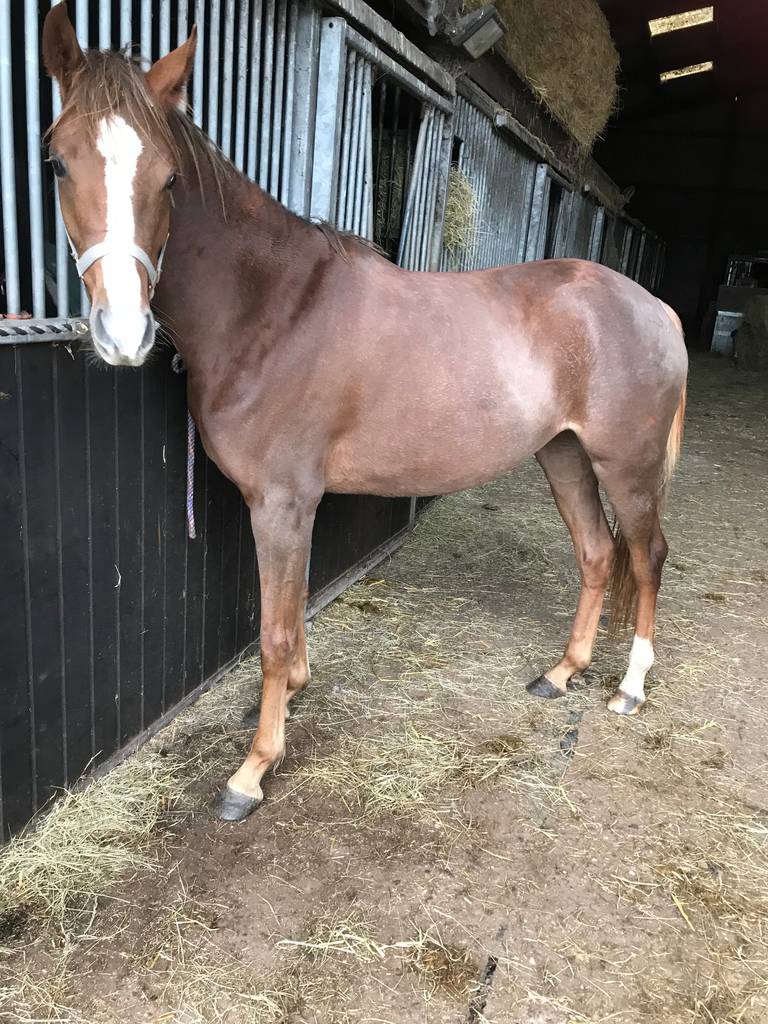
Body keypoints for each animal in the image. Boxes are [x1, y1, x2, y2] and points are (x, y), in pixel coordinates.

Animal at [42, 3, 687, 822]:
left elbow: (274, 631)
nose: (124, 334)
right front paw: (295, 695)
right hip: (564, 453)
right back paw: (561, 673)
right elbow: (293, 616)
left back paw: (630, 687)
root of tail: (654, 308)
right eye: (59, 163)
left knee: (646, 555)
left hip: (625, 465)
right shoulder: (292, 504)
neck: (271, 308)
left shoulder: (281, 501)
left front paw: (253, 772)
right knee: (598, 554)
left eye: (168, 176)